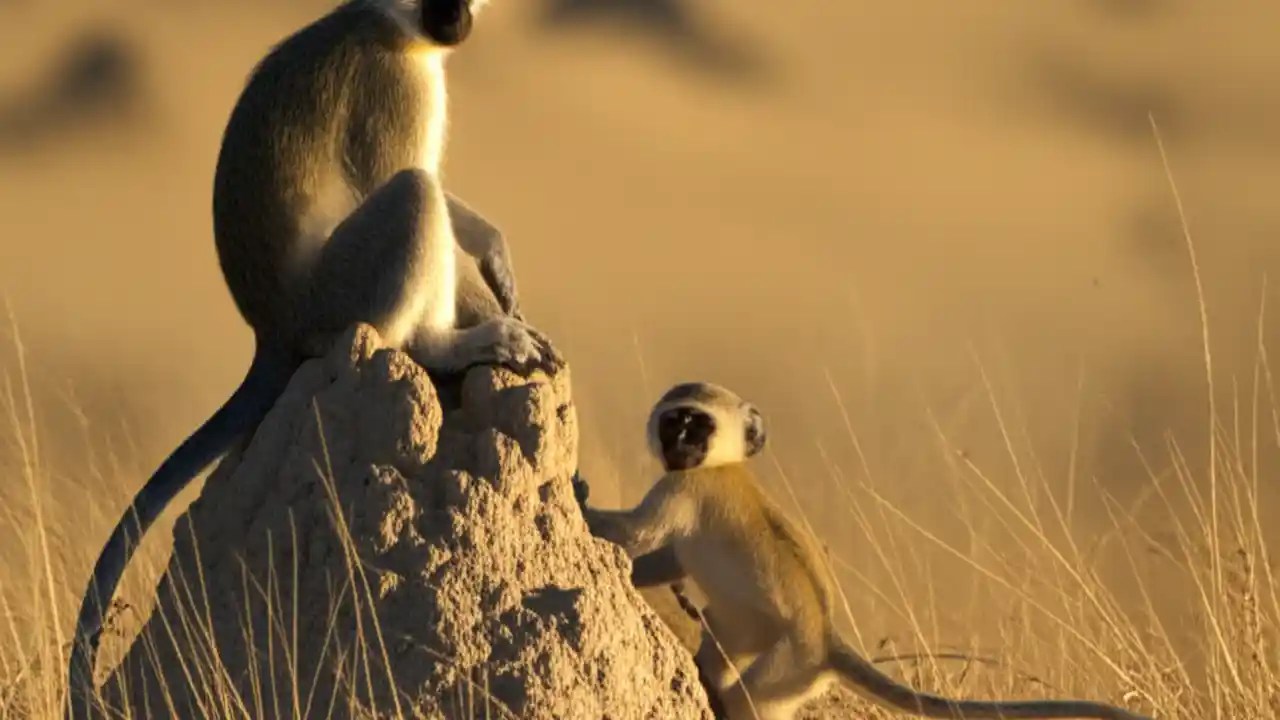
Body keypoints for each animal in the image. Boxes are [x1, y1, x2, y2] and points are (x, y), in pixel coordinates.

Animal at [66, 2, 561, 716]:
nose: (455, 26)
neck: (390, 22)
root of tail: (273, 330)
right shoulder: (395, 86)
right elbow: (399, 179)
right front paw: (489, 267)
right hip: (340, 293)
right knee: (412, 196)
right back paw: (446, 343)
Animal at [576, 382, 1153, 720]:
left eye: (699, 424)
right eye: (675, 421)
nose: (680, 444)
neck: (723, 465)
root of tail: (826, 642)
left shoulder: (684, 491)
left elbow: (636, 537)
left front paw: (579, 497)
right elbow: (664, 556)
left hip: (788, 664)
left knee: (747, 701)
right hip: (754, 634)